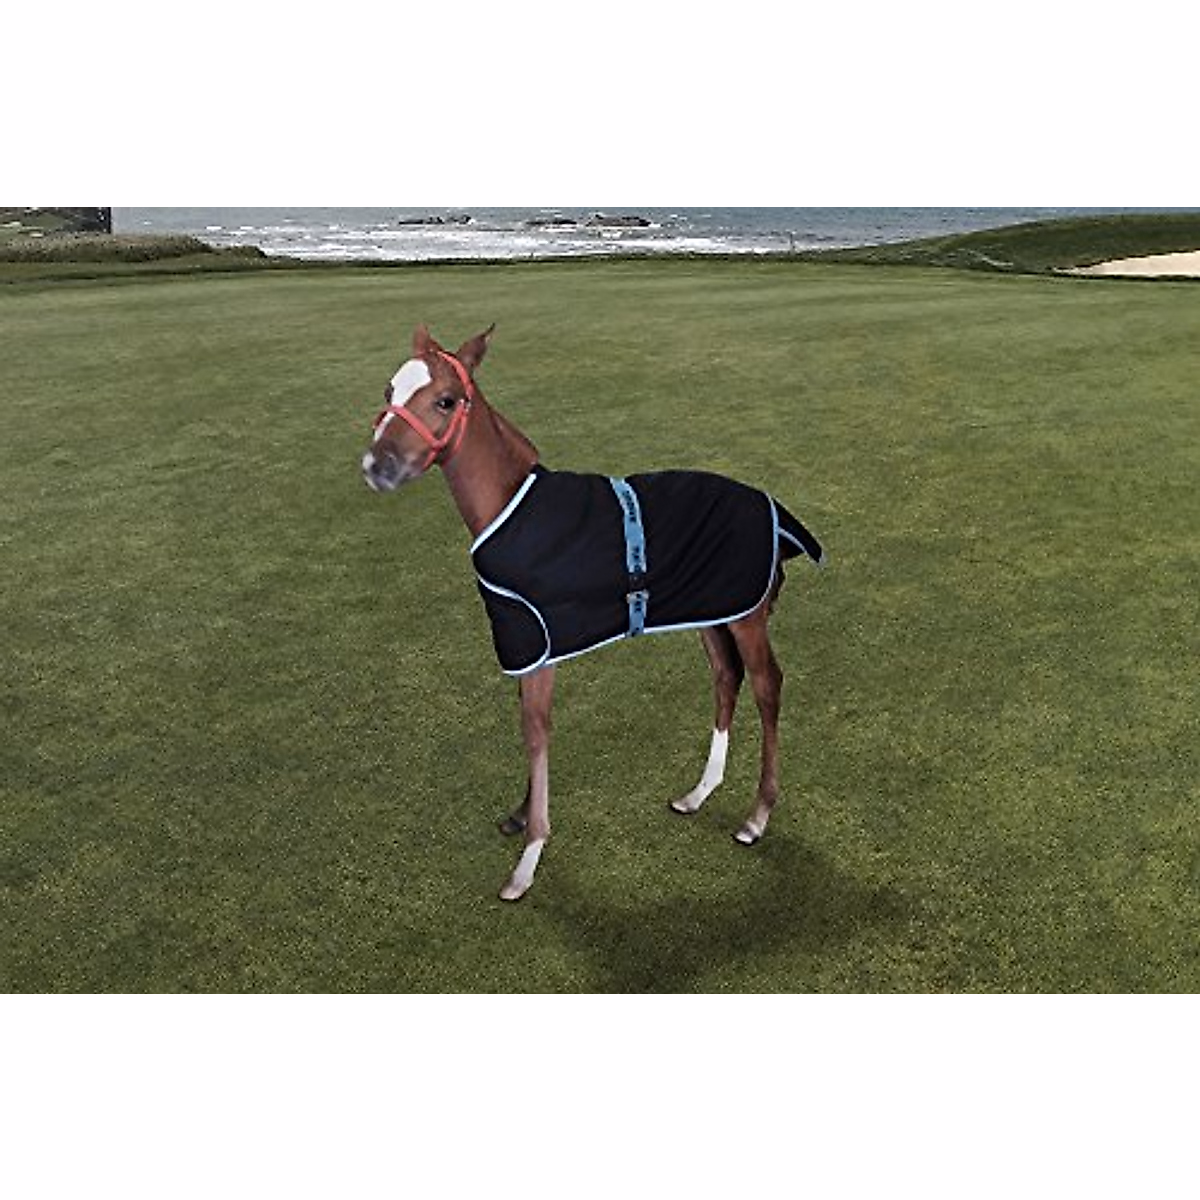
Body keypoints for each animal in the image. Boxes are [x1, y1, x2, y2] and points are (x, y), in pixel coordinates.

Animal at [361, 325, 823, 901]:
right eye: (389, 391)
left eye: (445, 400)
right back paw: (698, 793)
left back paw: (757, 816)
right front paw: (521, 816)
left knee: (766, 684)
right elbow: (529, 724)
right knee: (725, 676)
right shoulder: (525, 643)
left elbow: (536, 731)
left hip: (748, 617)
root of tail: (774, 508)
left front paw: (527, 861)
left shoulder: (537, 647)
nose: (377, 466)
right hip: (714, 611)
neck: (508, 503)